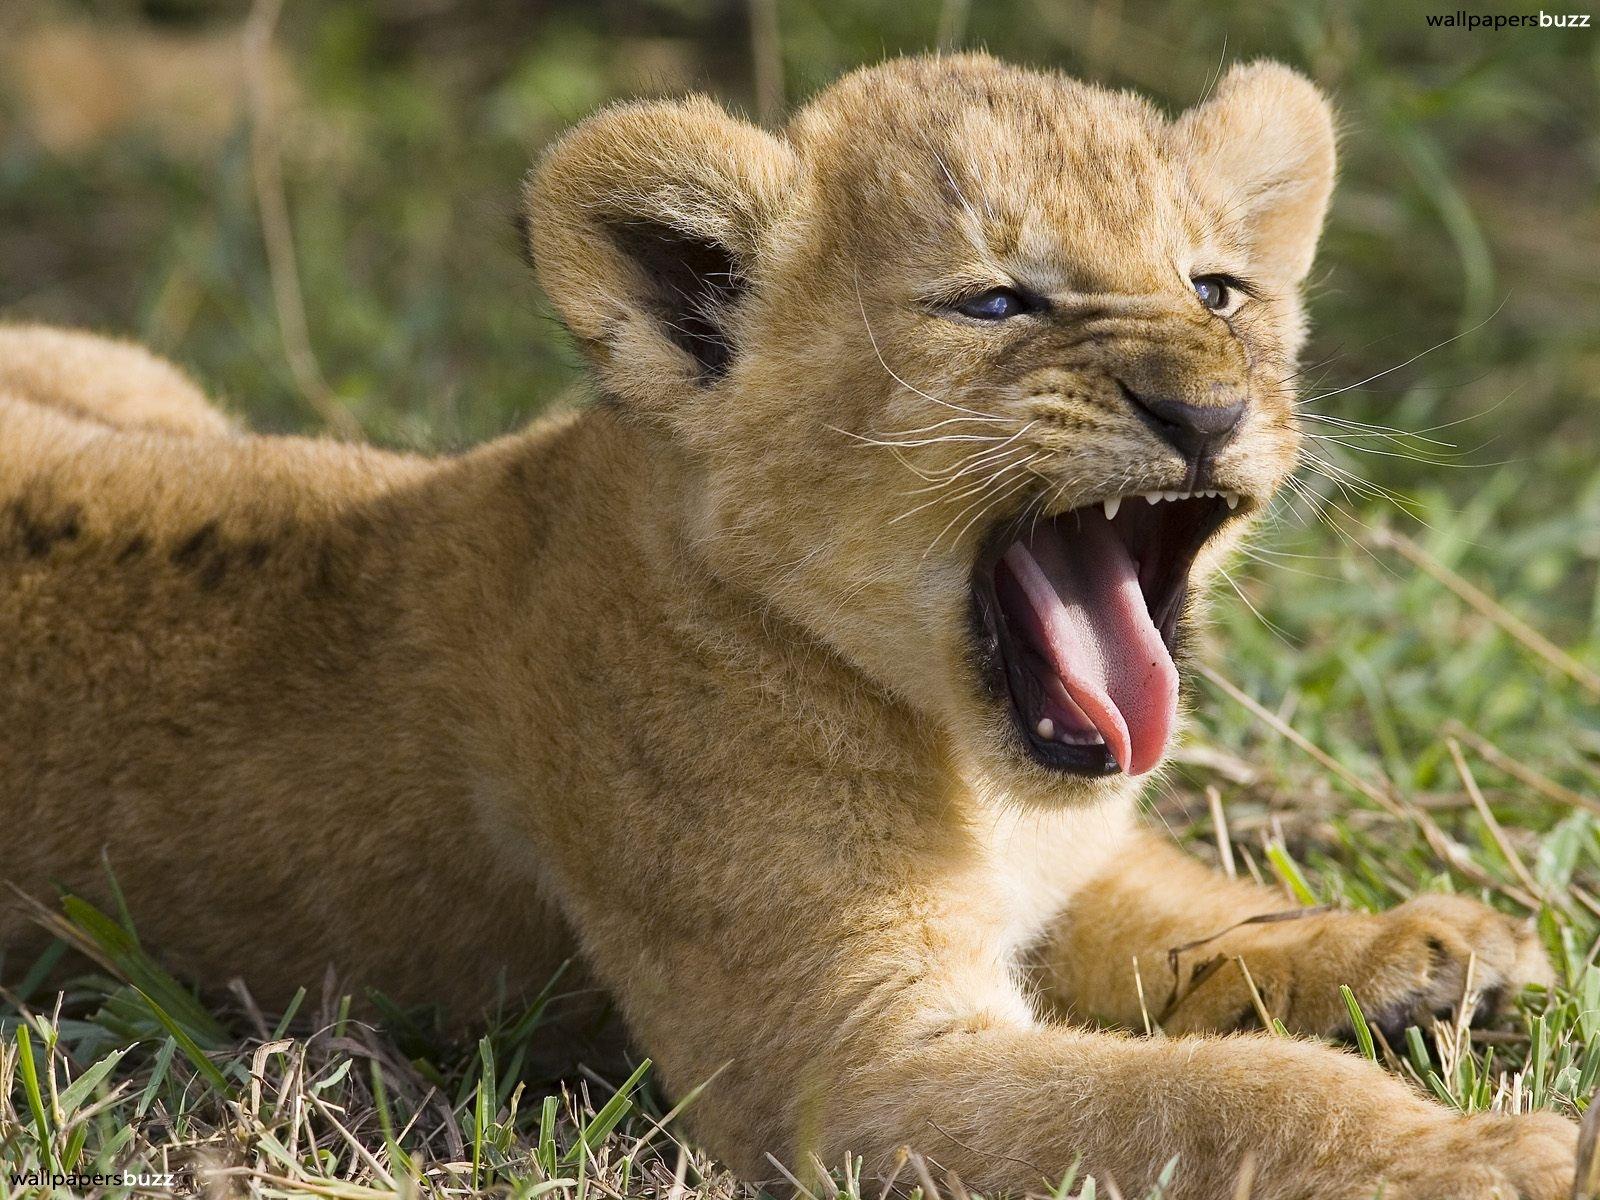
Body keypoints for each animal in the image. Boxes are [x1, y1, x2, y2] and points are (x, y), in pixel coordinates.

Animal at [0, 55, 1576, 1197]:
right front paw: (1490, 1154)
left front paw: (1419, 947)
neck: (965, 759)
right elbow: (1219, 1099)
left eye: (1215, 289)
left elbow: (1191, 909)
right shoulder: (846, 1074)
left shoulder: (1061, 871)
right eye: (996, 302)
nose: (1205, 410)